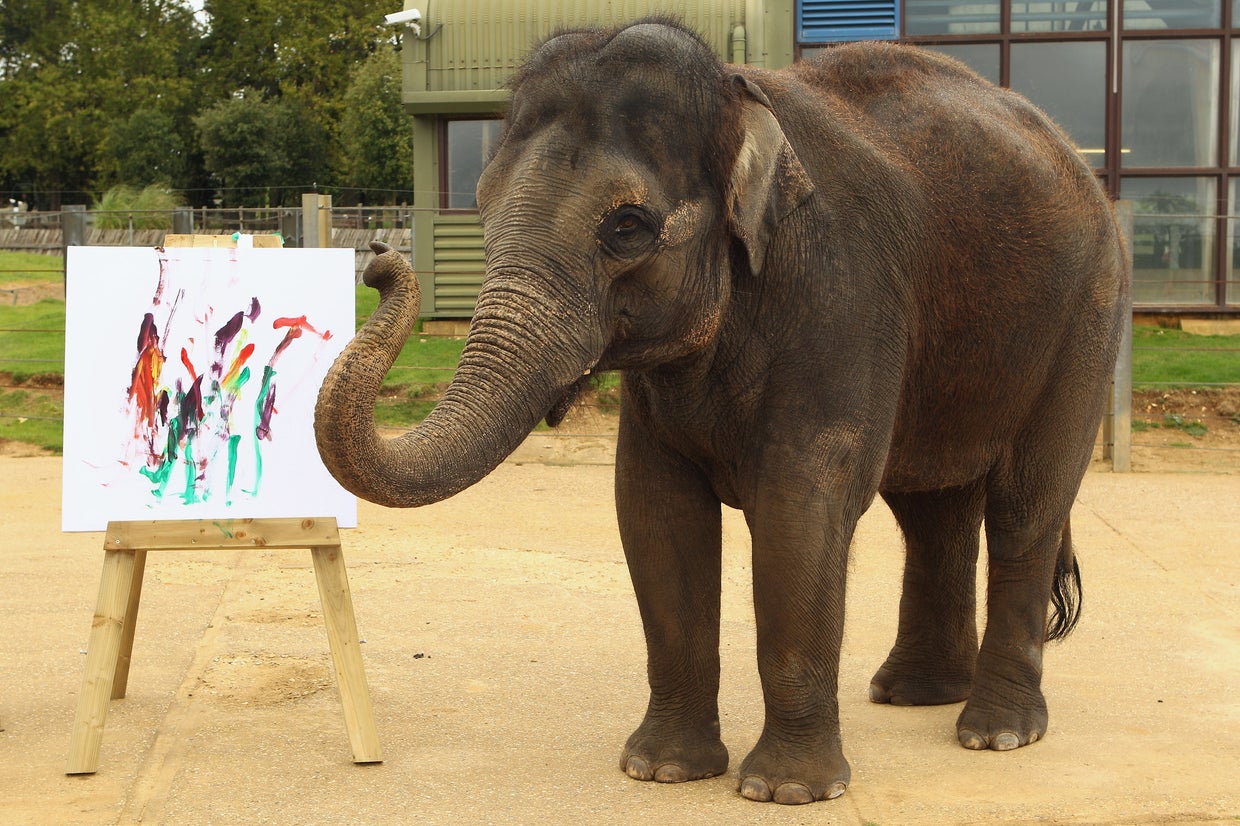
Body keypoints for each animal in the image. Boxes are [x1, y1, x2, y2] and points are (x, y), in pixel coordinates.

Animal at [315, 18, 1128, 805]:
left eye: (627, 226)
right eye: (480, 205)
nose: (378, 256)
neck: (741, 99)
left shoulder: (841, 298)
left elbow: (800, 508)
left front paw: (786, 791)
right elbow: (654, 512)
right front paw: (662, 771)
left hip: (1089, 319)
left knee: (1026, 504)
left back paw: (997, 733)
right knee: (933, 508)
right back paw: (912, 694)